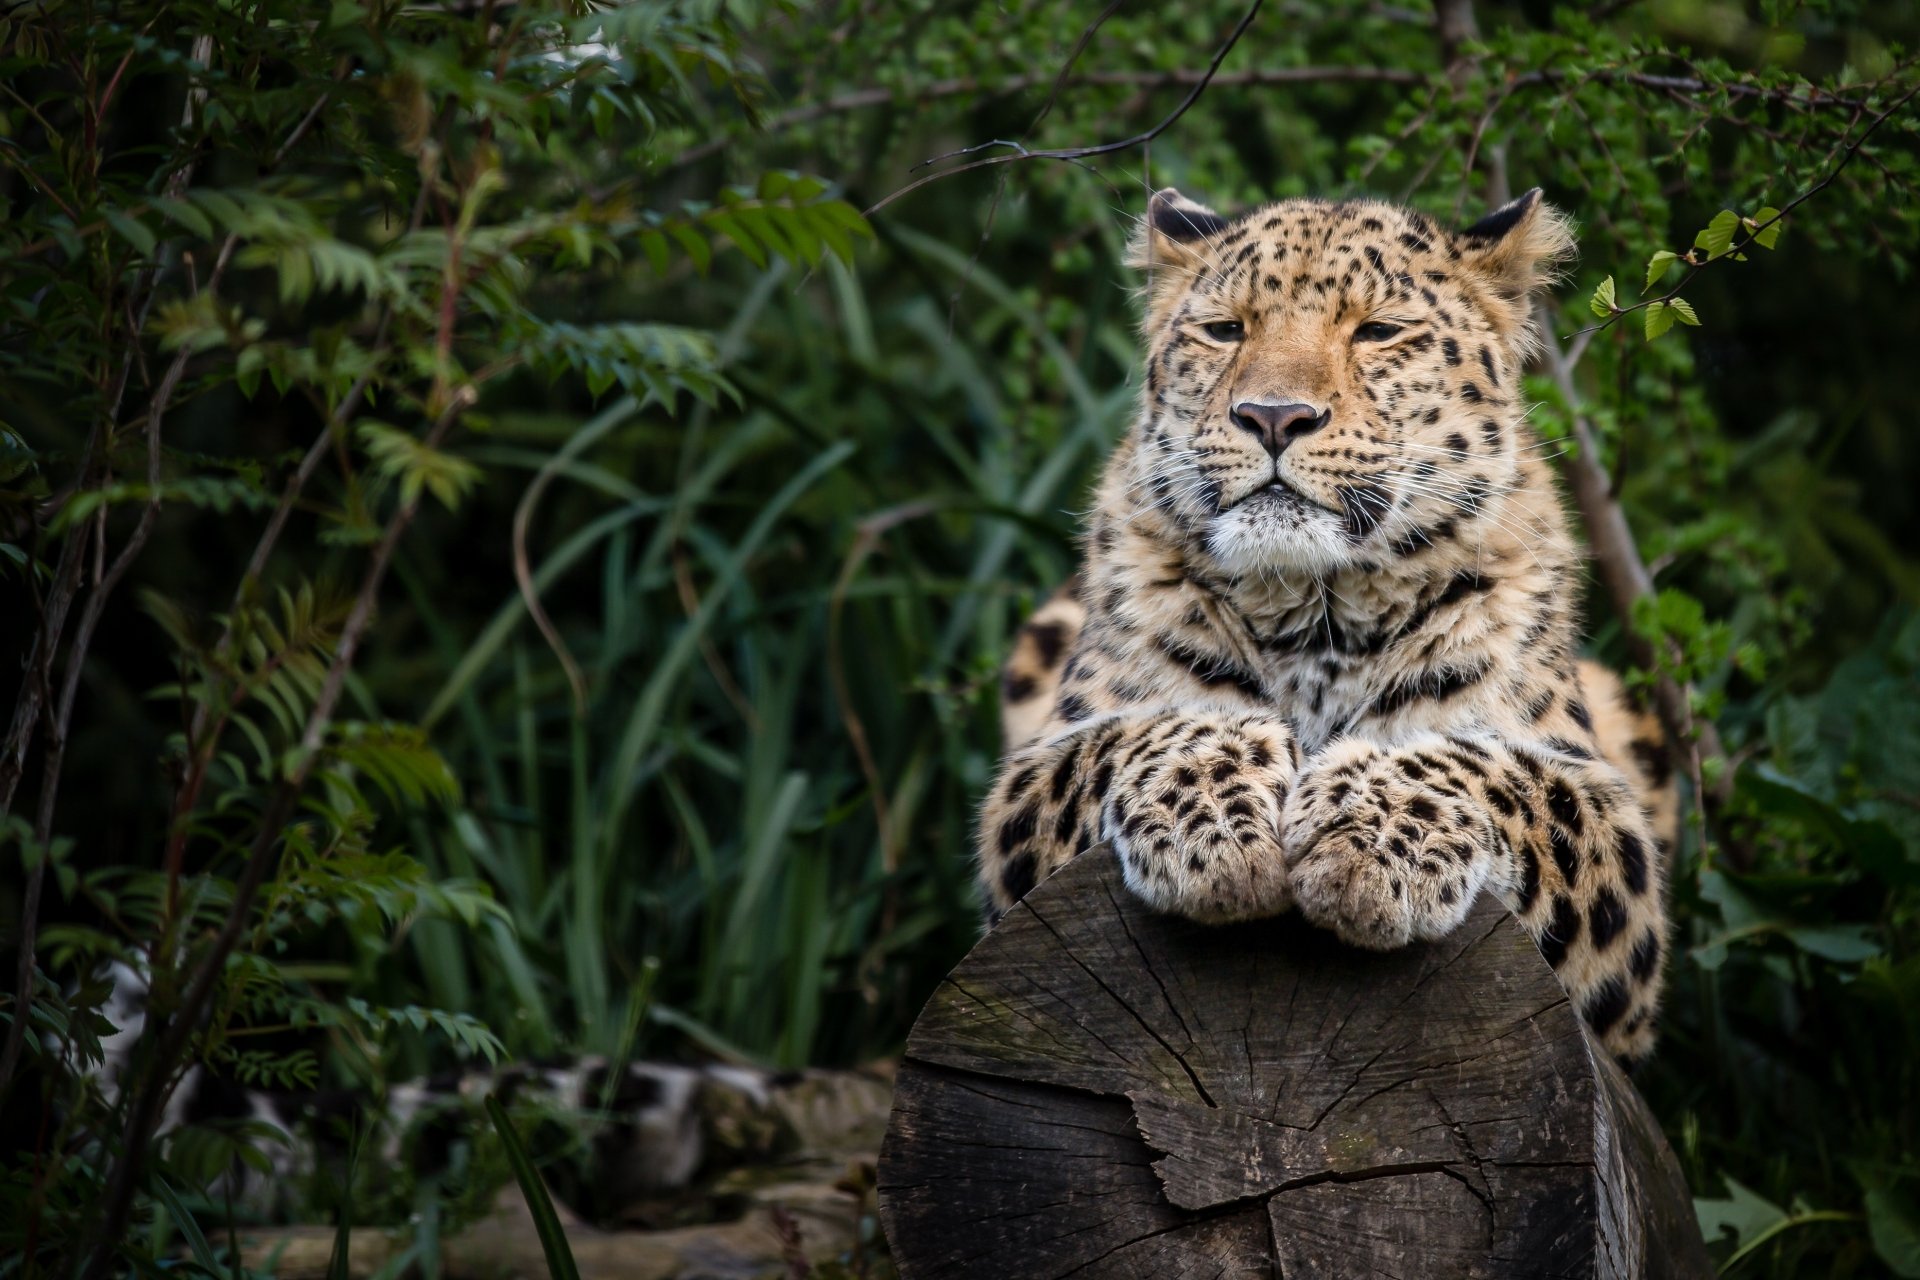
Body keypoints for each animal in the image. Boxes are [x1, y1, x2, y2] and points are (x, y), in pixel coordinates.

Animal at [978, 186, 1680, 1062]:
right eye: (1226, 329)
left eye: (1377, 331)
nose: (1274, 417)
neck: (1317, 615)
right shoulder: (1029, 784)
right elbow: (1150, 730)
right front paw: (1214, 827)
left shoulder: (1611, 837)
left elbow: (1486, 764)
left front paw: (1368, 845)